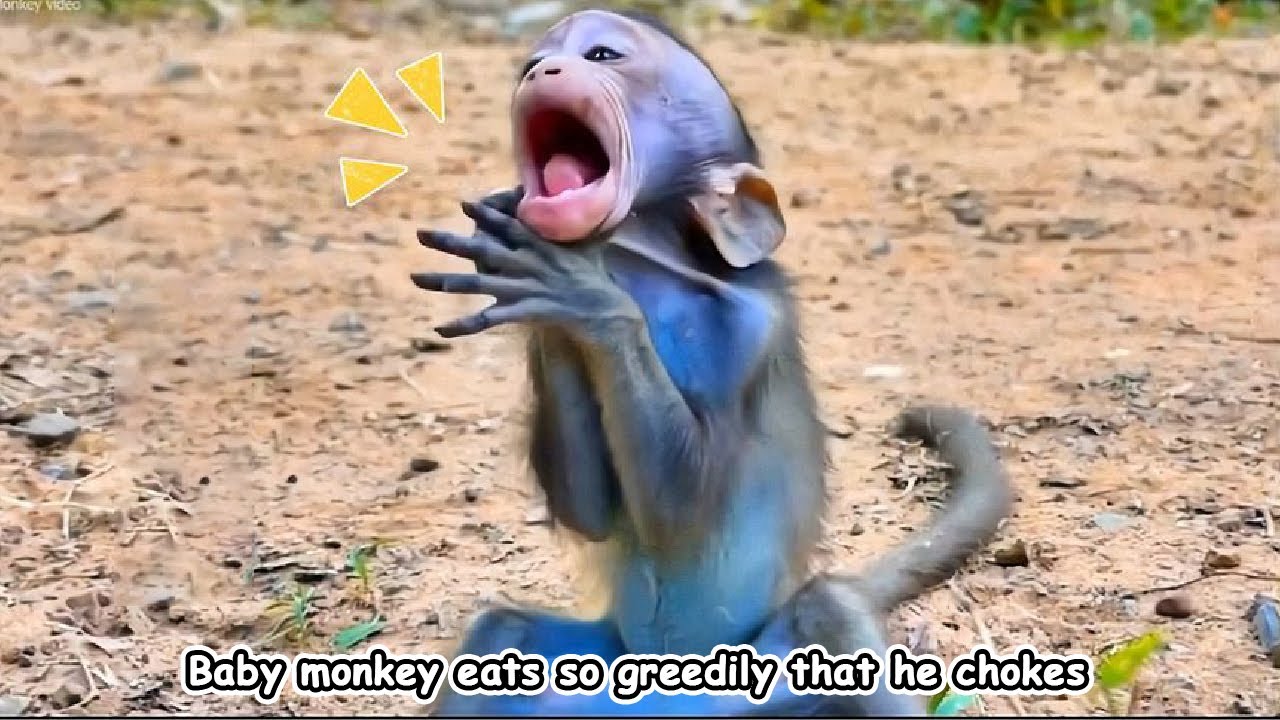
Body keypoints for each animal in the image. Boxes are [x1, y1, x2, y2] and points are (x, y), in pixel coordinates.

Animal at [409, 9, 1013, 716]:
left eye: (603, 55)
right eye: (533, 62)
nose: (540, 72)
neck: (650, 269)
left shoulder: (753, 325)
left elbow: (681, 510)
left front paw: (578, 289)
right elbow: (589, 510)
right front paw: (543, 290)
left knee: (830, 613)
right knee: (502, 631)